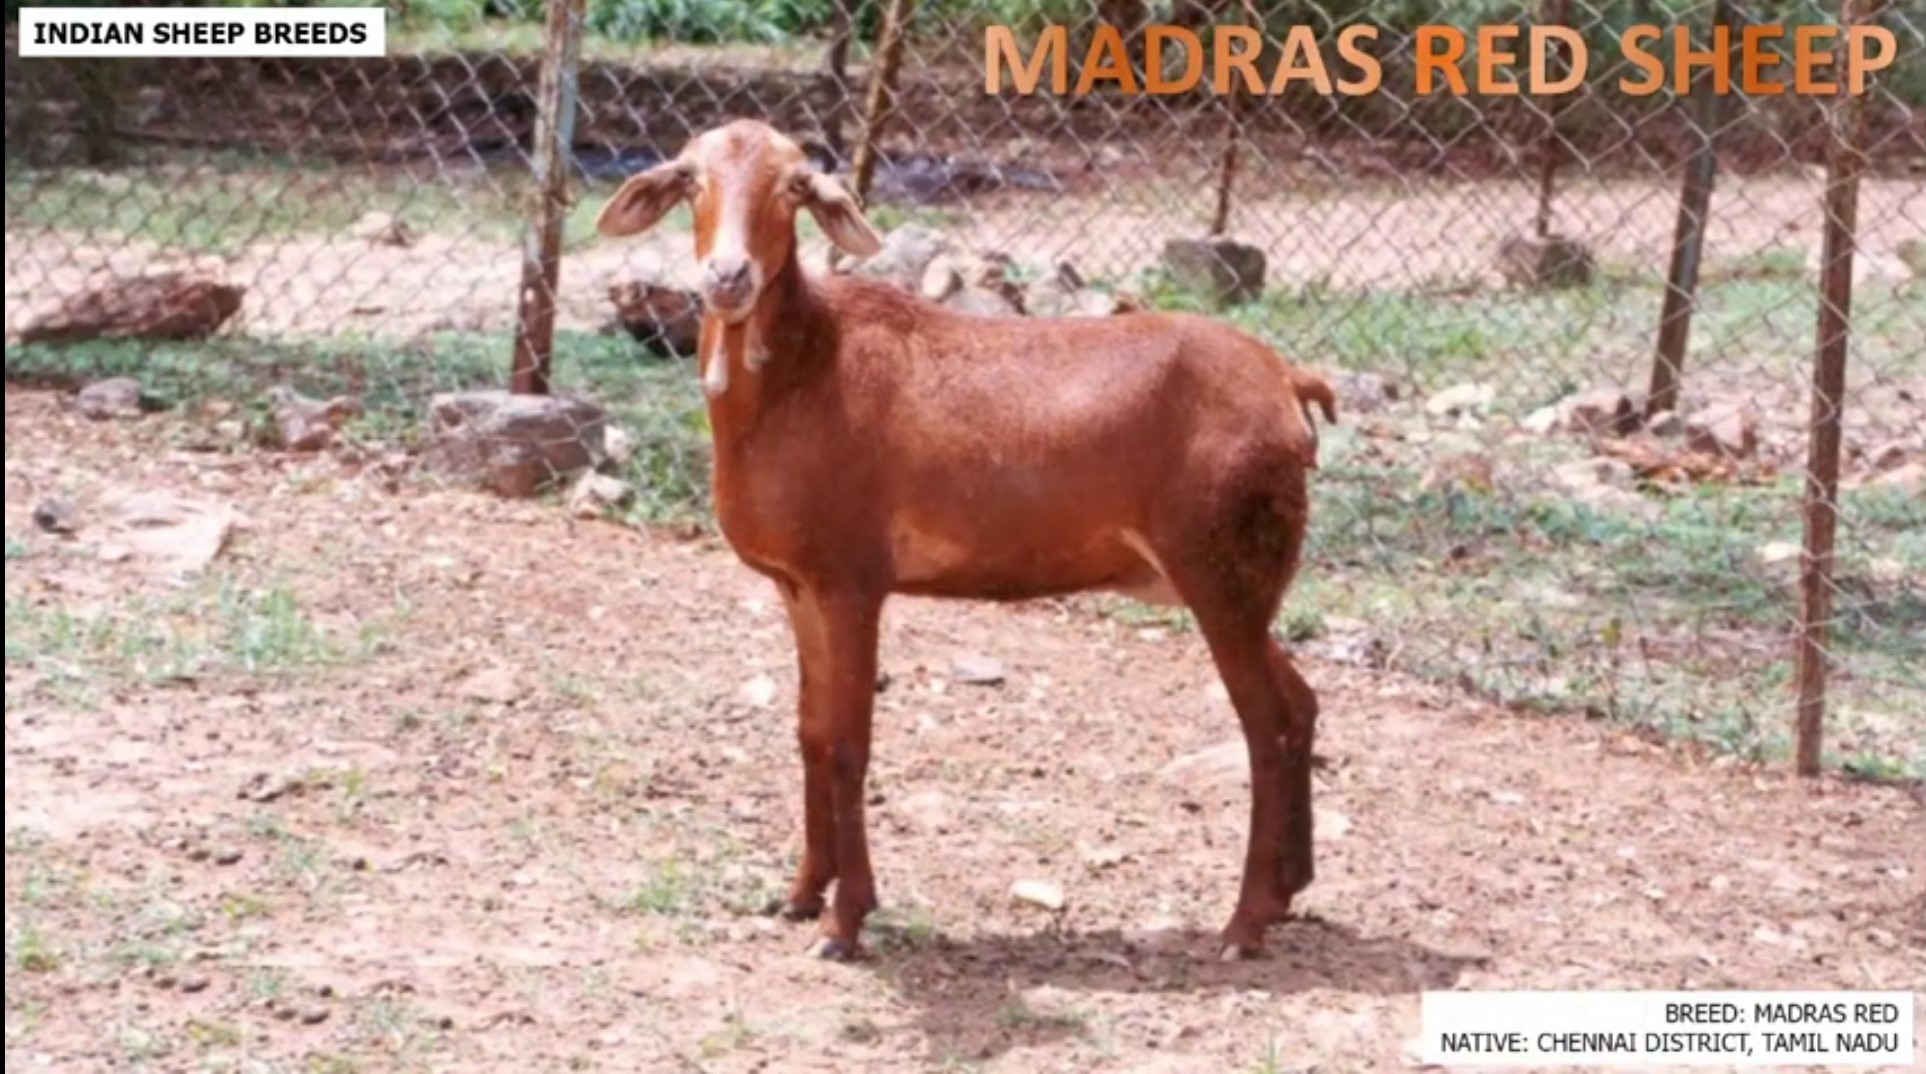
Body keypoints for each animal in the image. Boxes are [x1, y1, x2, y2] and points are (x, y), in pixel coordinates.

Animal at [593, 118, 1338, 962]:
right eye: (690, 177)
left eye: (794, 185)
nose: (728, 275)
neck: (806, 372)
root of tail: (1290, 383)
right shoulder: (797, 585)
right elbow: (810, 732)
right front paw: (800, 894)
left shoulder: (853, 580)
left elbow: (849, 743)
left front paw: (845, 922)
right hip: (1241, 587)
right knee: (1301, 704)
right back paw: (1288, 891)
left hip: (1221, 573)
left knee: (1266, 725)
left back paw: (1243, 924)